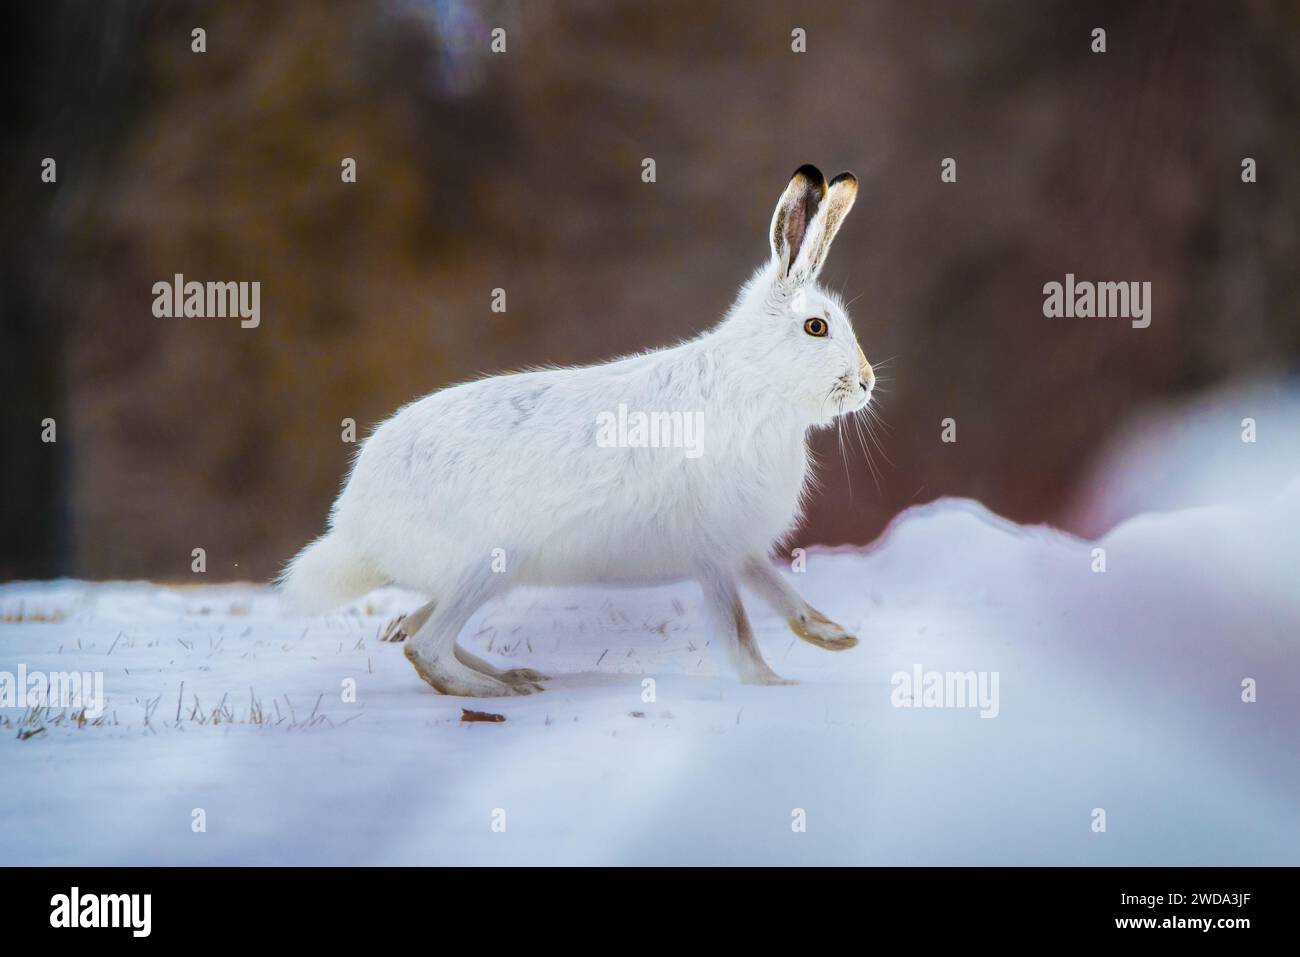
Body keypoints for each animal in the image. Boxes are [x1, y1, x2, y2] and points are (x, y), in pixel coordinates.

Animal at [280, 164, 876, 696]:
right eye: (816, 327)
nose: (867, 383)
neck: (756, 382)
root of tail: (355, 525)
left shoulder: (740, 550)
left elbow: (783, 596)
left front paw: (835, 637)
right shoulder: (714, 553)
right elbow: (739, 632)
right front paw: (775, 685)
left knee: (416, 629)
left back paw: (511, 675)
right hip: (489, 563)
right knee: (425, 647)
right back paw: (497, 691)